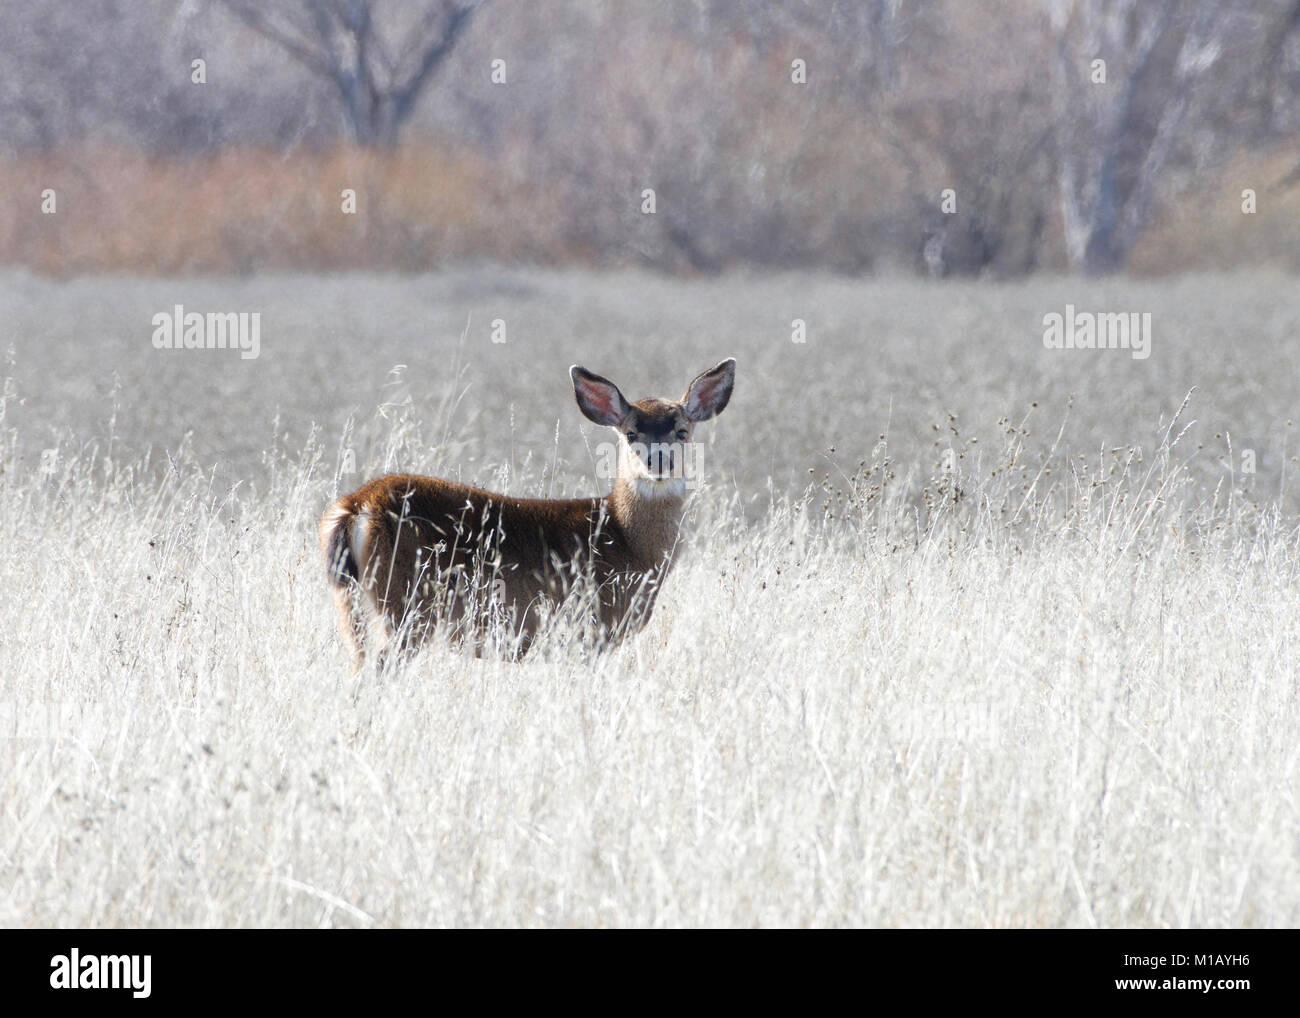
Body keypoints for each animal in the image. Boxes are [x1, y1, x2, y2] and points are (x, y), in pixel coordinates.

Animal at [318, 358, 735, 671]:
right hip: (408, 604)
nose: (658, 460)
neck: (625, 540)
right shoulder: (588, 630)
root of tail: (356, 506)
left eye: (682, 431)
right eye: (631, 432)